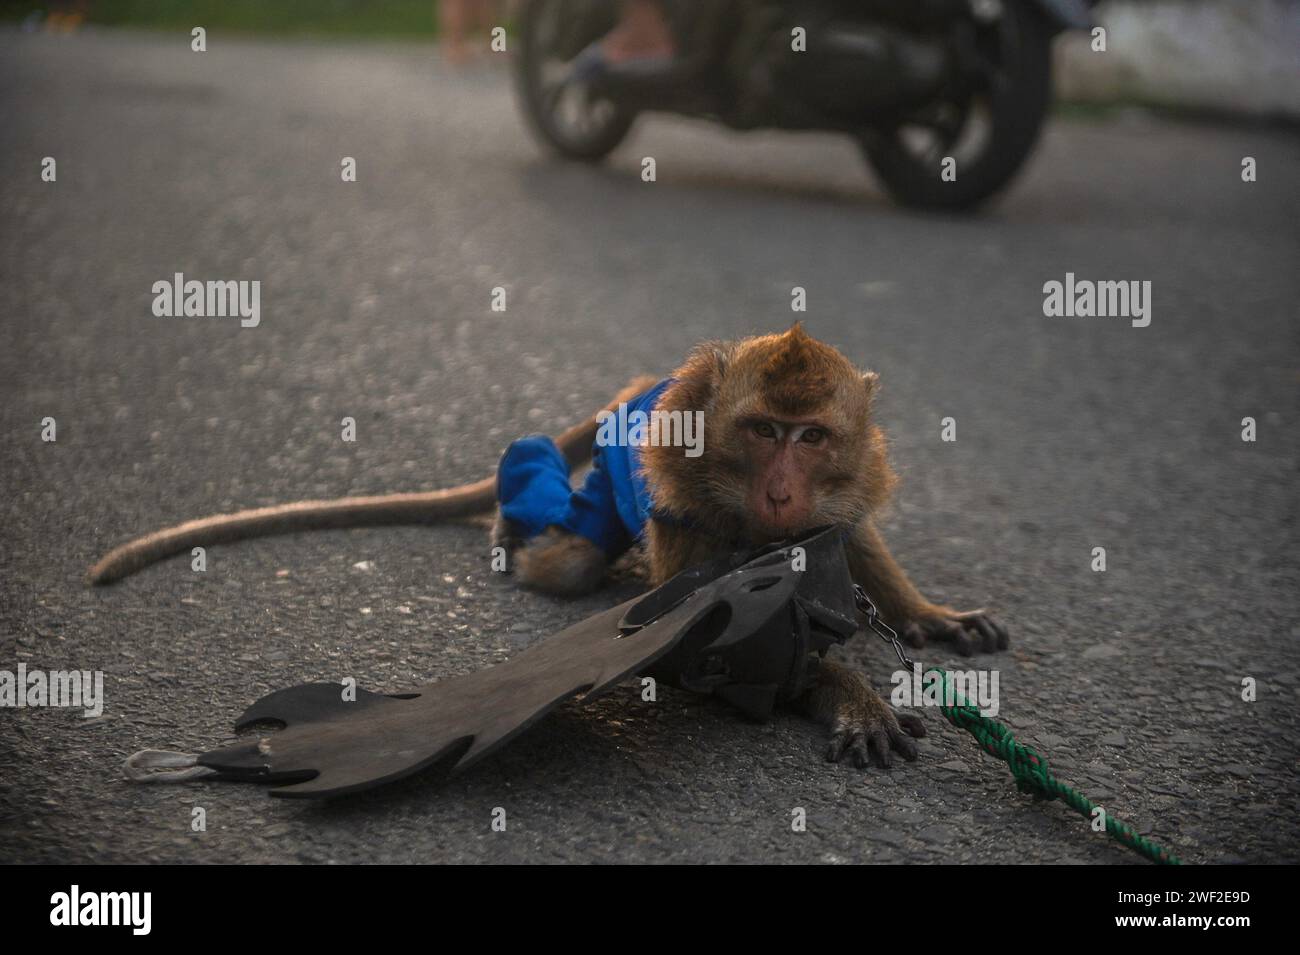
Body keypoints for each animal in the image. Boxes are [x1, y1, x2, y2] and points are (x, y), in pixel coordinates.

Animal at [88, 325, 1007, 771]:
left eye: (812, 436)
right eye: (763, 432)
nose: (782, 491)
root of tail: (635, 389)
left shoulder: (837, 495)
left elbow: (853, 539)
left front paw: (925, 614)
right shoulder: (687, 517)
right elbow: (712, 652)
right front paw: (855, 694)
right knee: (566, 557)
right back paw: (517, 527)